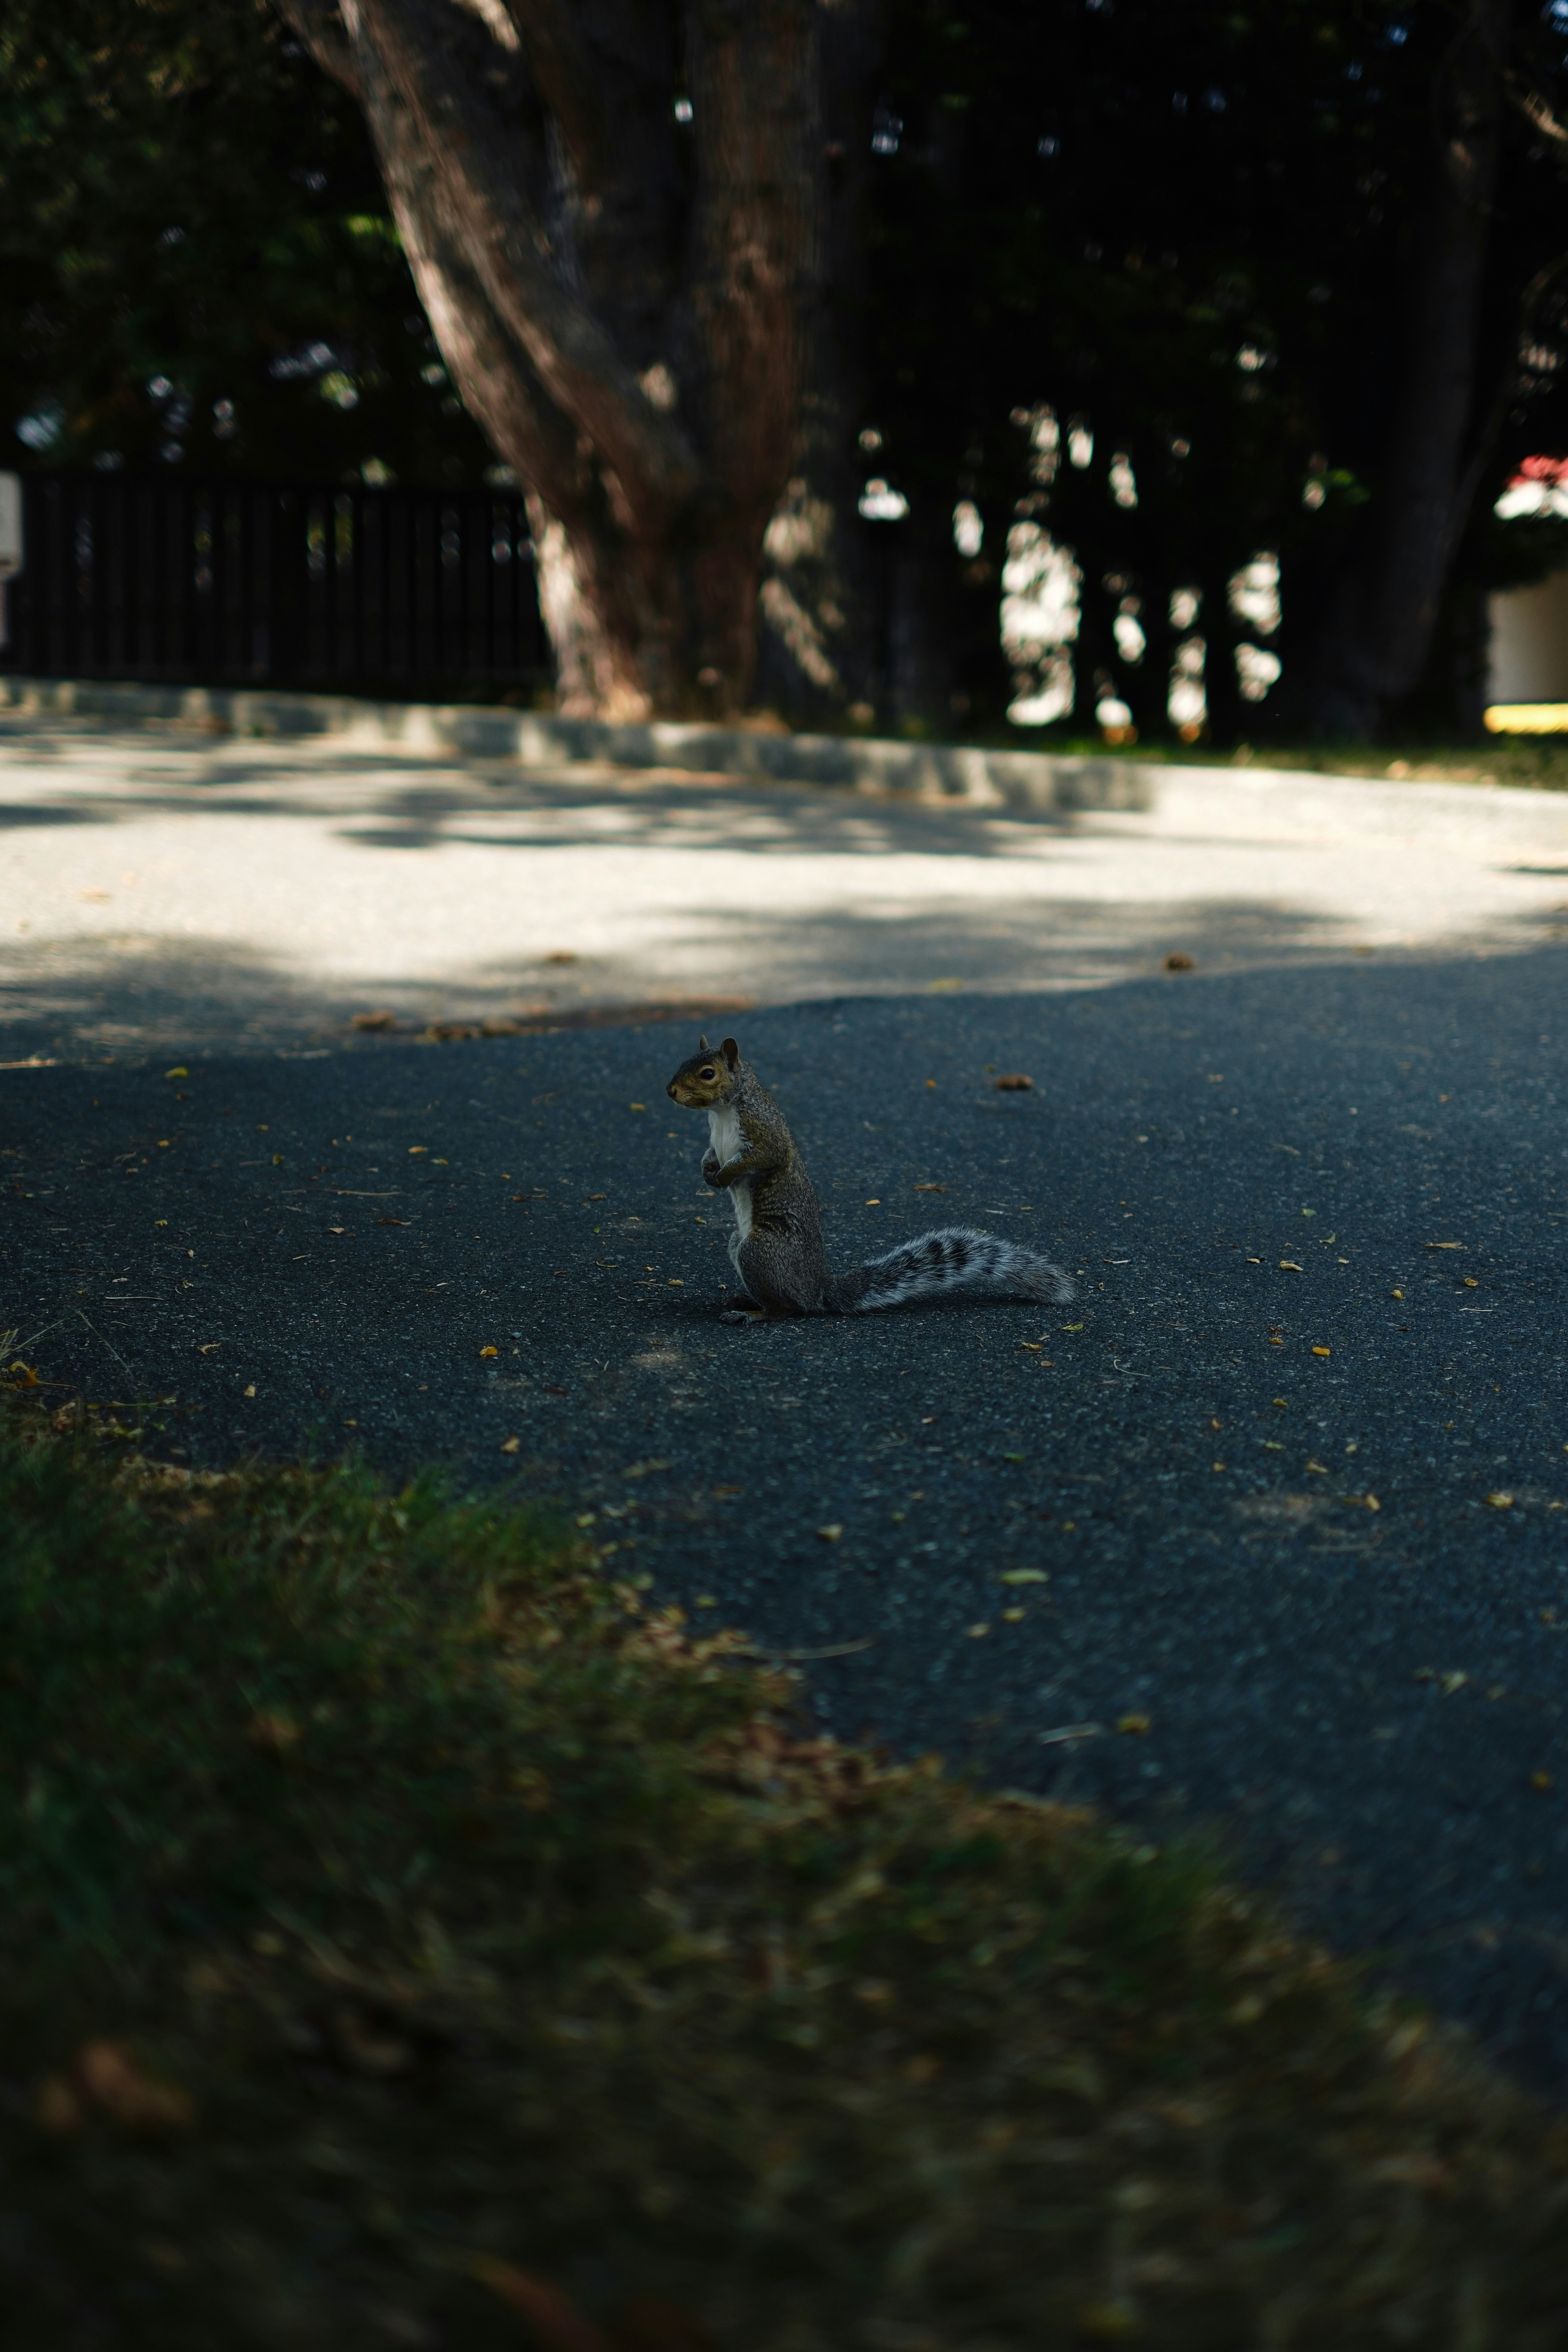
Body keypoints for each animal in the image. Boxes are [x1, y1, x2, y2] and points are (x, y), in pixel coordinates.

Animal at [665, 1034, 1075, 1322]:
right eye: (684, 1061)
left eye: (708, 1074)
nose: (670, 1091)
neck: (722, 1112)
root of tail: (818, 1288)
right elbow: (709, 1154)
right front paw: (707, 1170)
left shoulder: (763, 1131)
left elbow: (766, 1157)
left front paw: (724, 1176)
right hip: (742, 1244)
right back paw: (745, 1298)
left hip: (762, 1250)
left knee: (789, 1308)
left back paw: (752, 1313)